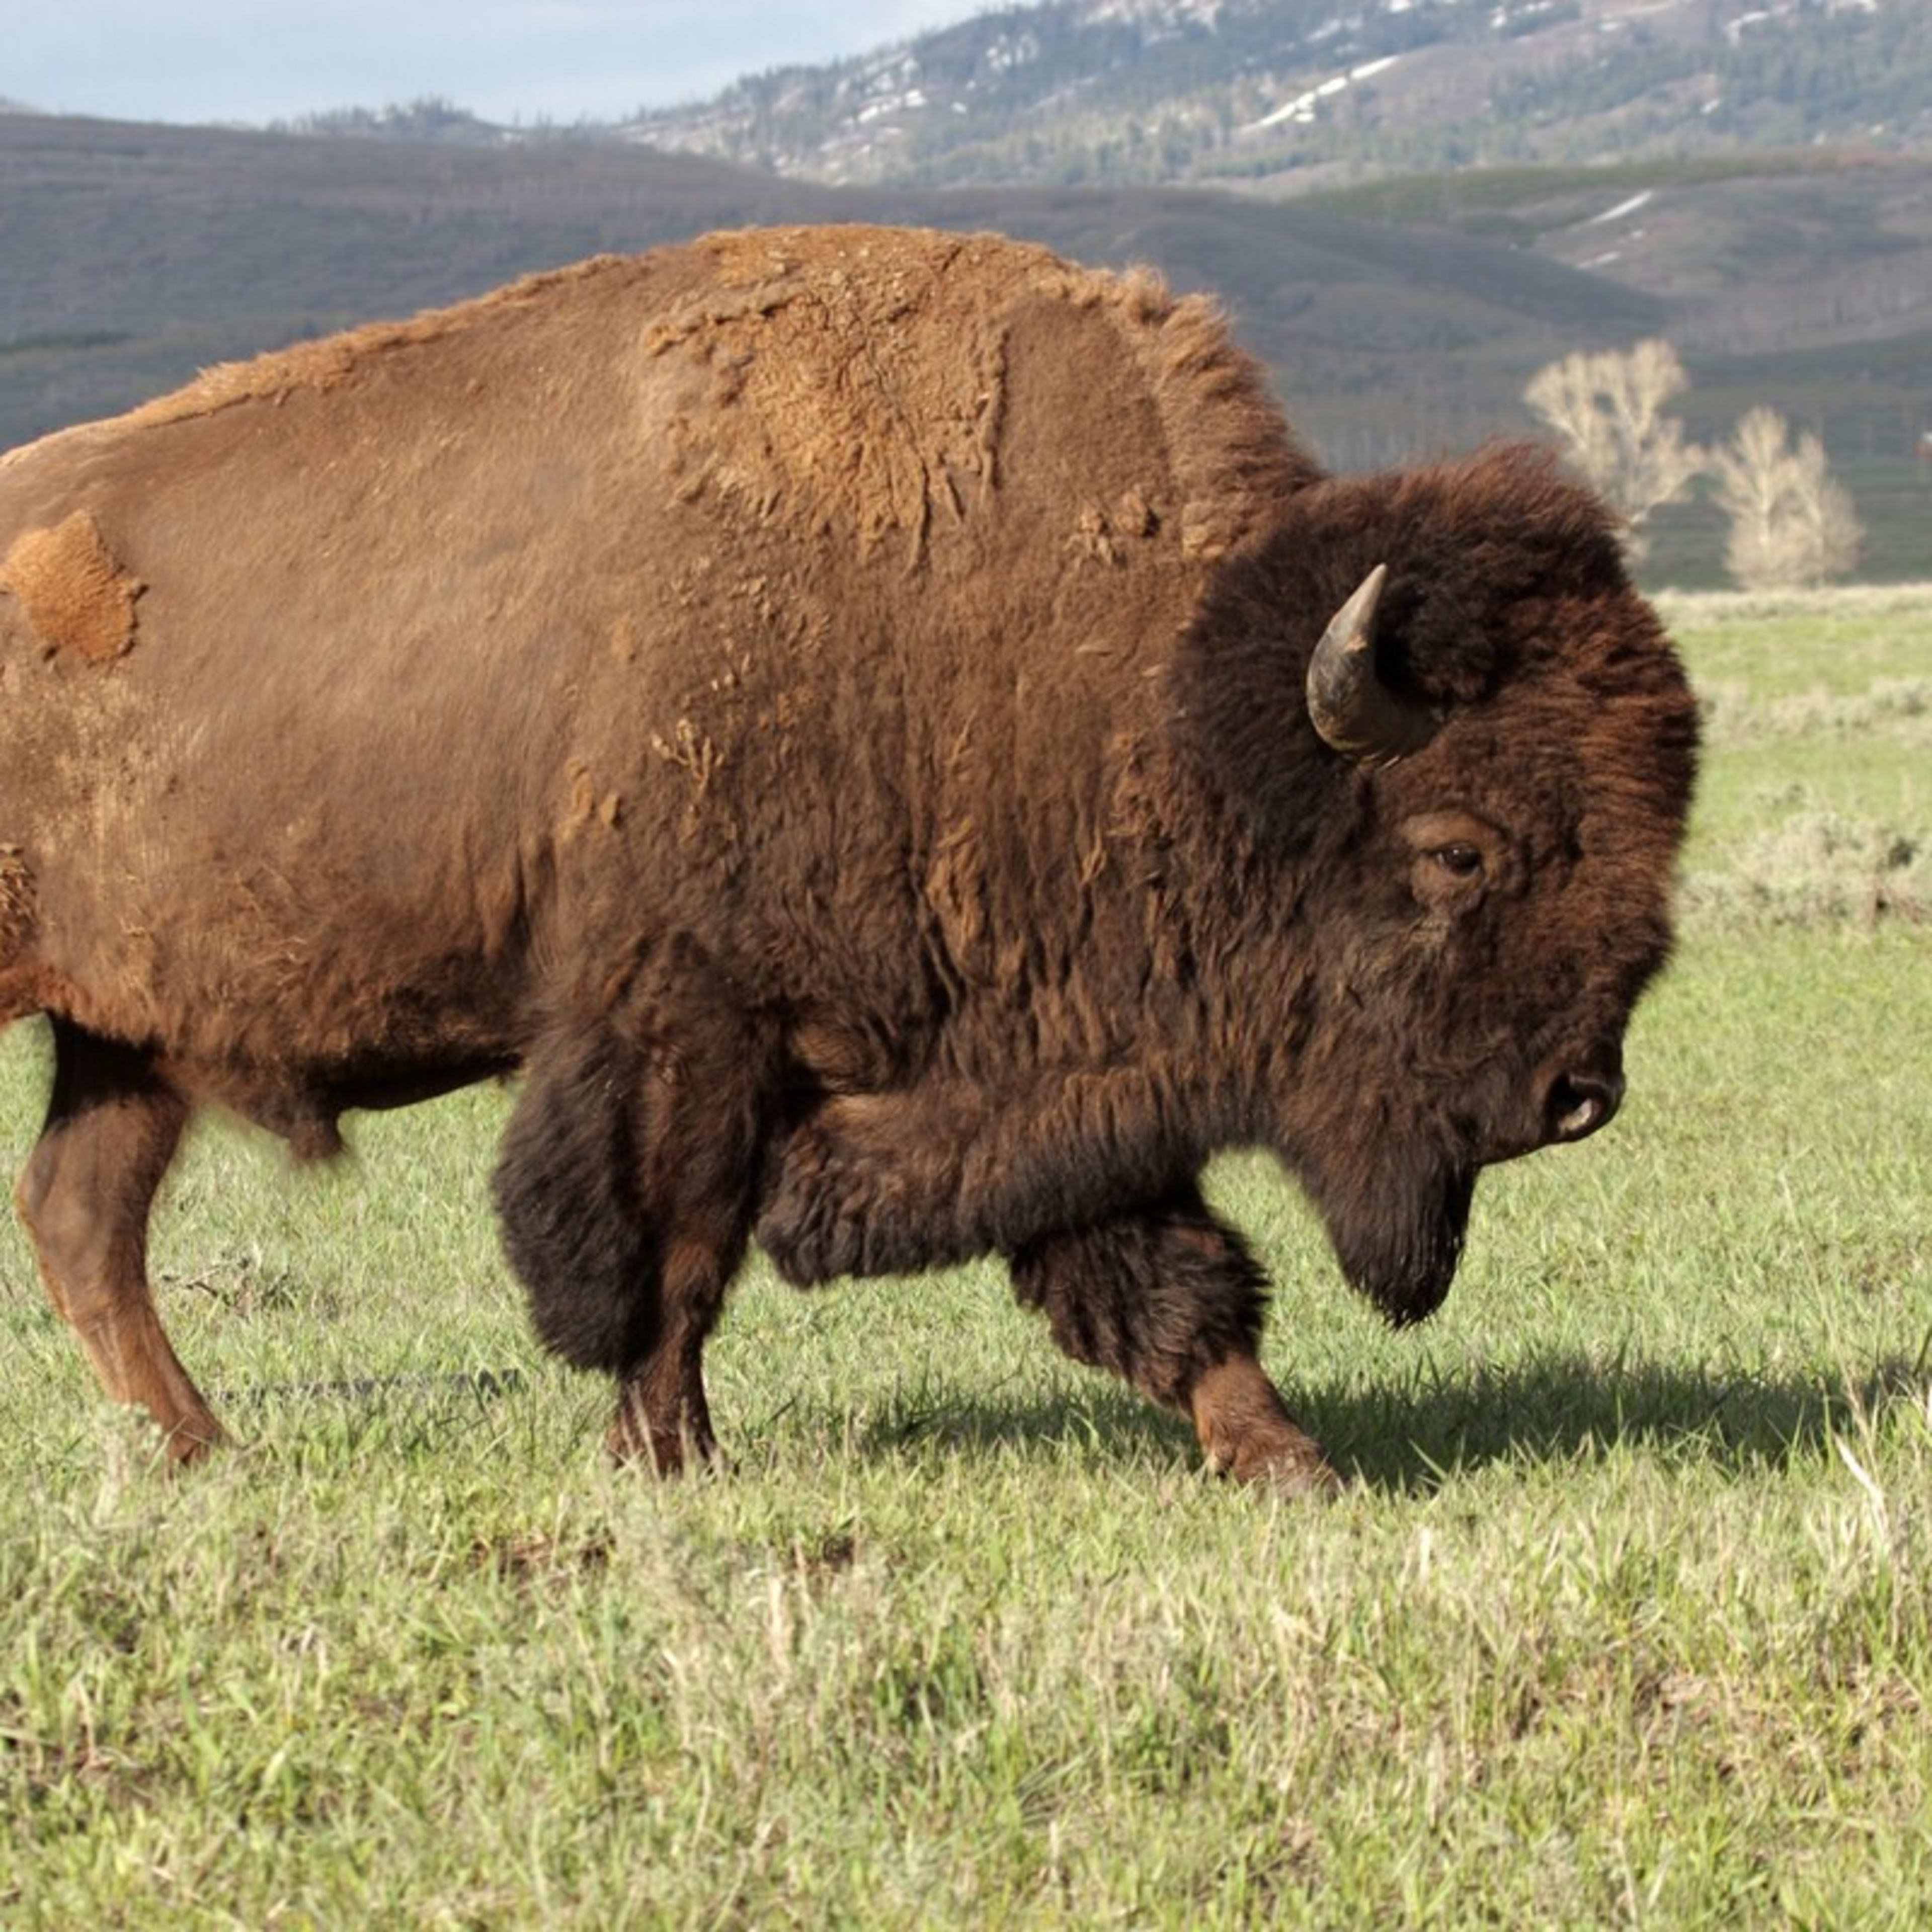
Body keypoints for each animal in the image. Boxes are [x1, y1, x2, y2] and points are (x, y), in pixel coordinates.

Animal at [0, 226, 1697, 1492]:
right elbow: (667, 1260)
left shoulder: (1055, 1057)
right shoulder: (686, 1027)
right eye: (1457, 848)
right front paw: (666, 1458)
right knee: (88, 1226)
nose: (1579, 1093)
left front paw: (1286, 1459)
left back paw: (206, 1448)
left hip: (126, 1043)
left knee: (82, 1222)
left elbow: (1161, 1270)